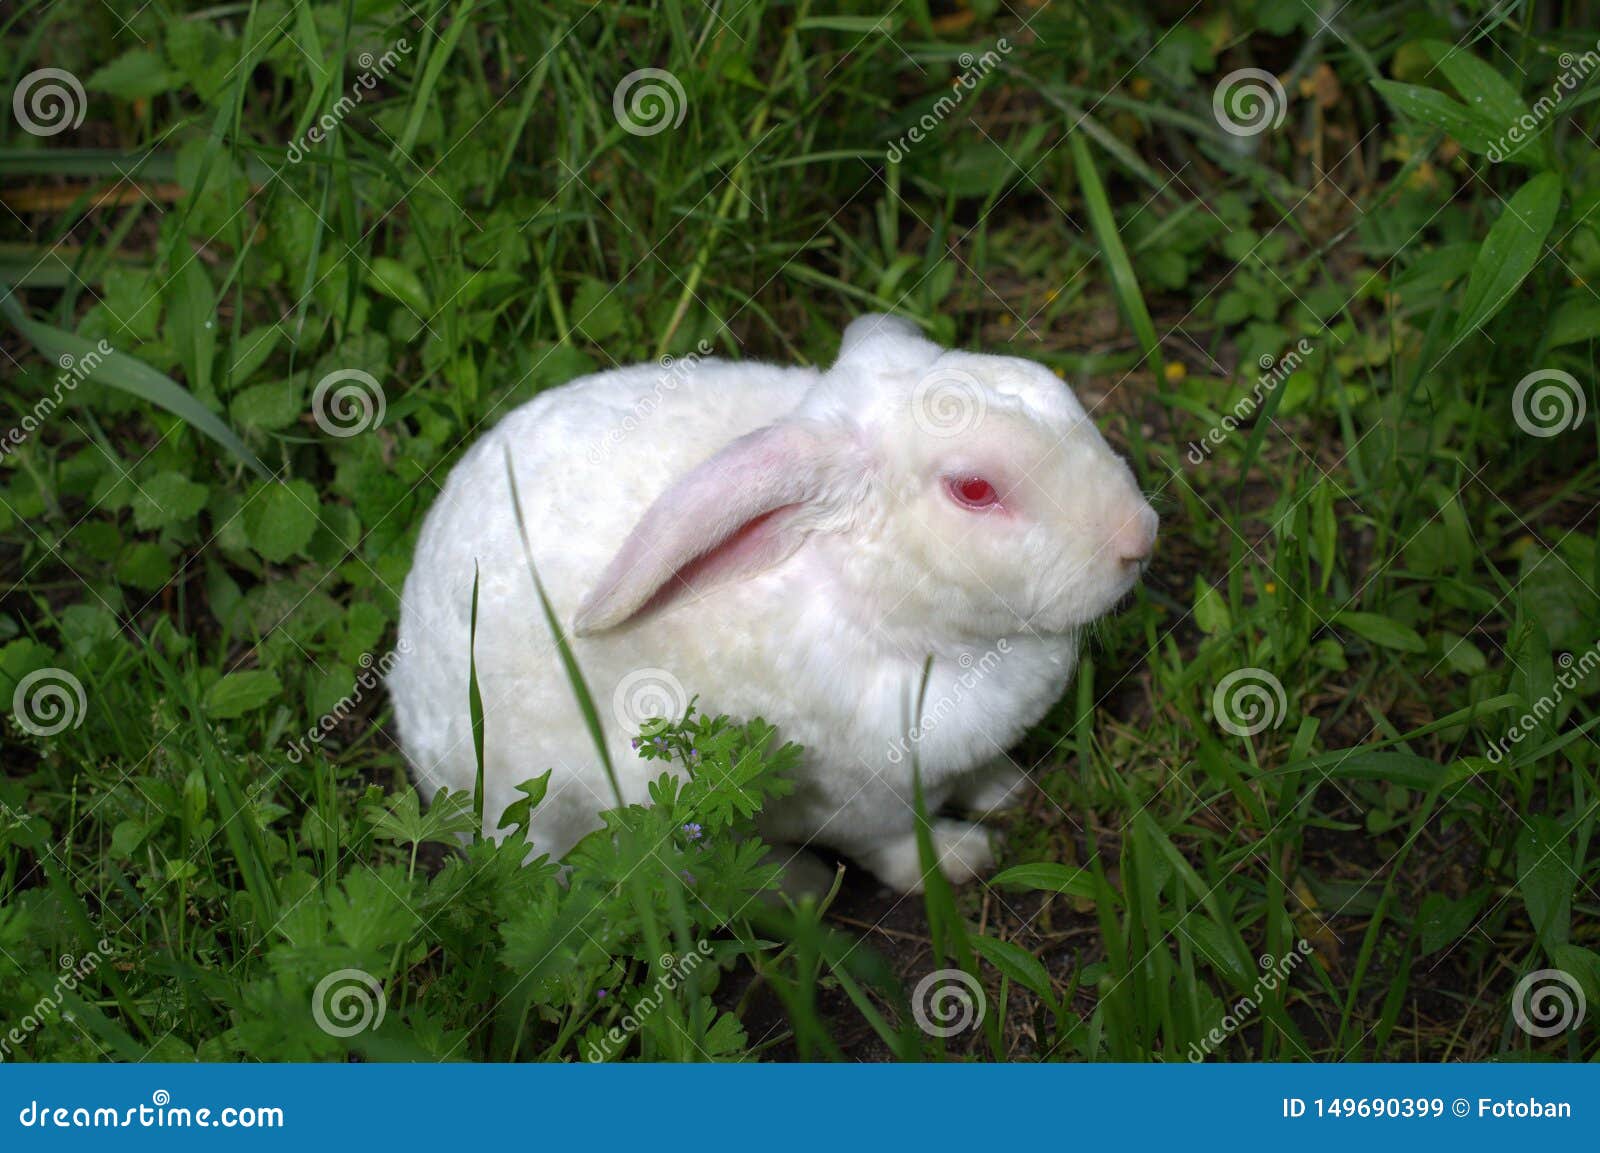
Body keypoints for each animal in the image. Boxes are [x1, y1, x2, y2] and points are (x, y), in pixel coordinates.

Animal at [387, 314, 1157, 893]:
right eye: (973, 489)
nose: (1139, 536)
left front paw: (1006, 789)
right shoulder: (855, 801)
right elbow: (894, 847)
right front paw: (963, 858)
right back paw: (805, 889)